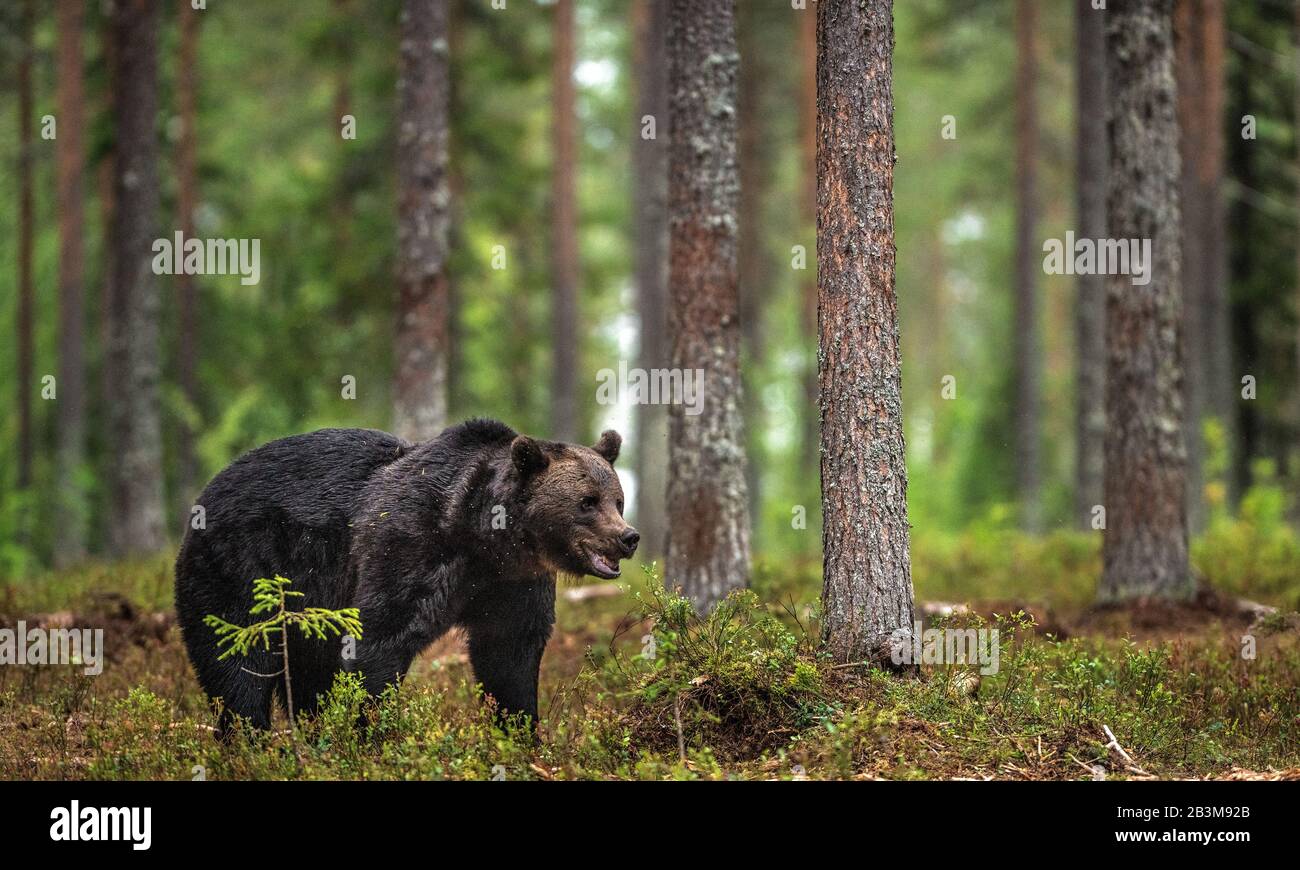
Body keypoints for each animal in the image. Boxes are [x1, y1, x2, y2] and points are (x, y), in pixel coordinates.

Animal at [173, 418, 638, 735]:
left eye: (617, 499)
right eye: (587, 502)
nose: (628, 537)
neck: (485, 538)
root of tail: (206, 493)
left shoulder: (512, 583)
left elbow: (510, 656)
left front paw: (522, 733)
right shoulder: (409, 545)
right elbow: (379, 638)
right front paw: (372, 734)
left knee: (307, 675)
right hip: (244, 567)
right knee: (237, 661)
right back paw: (249, 739)